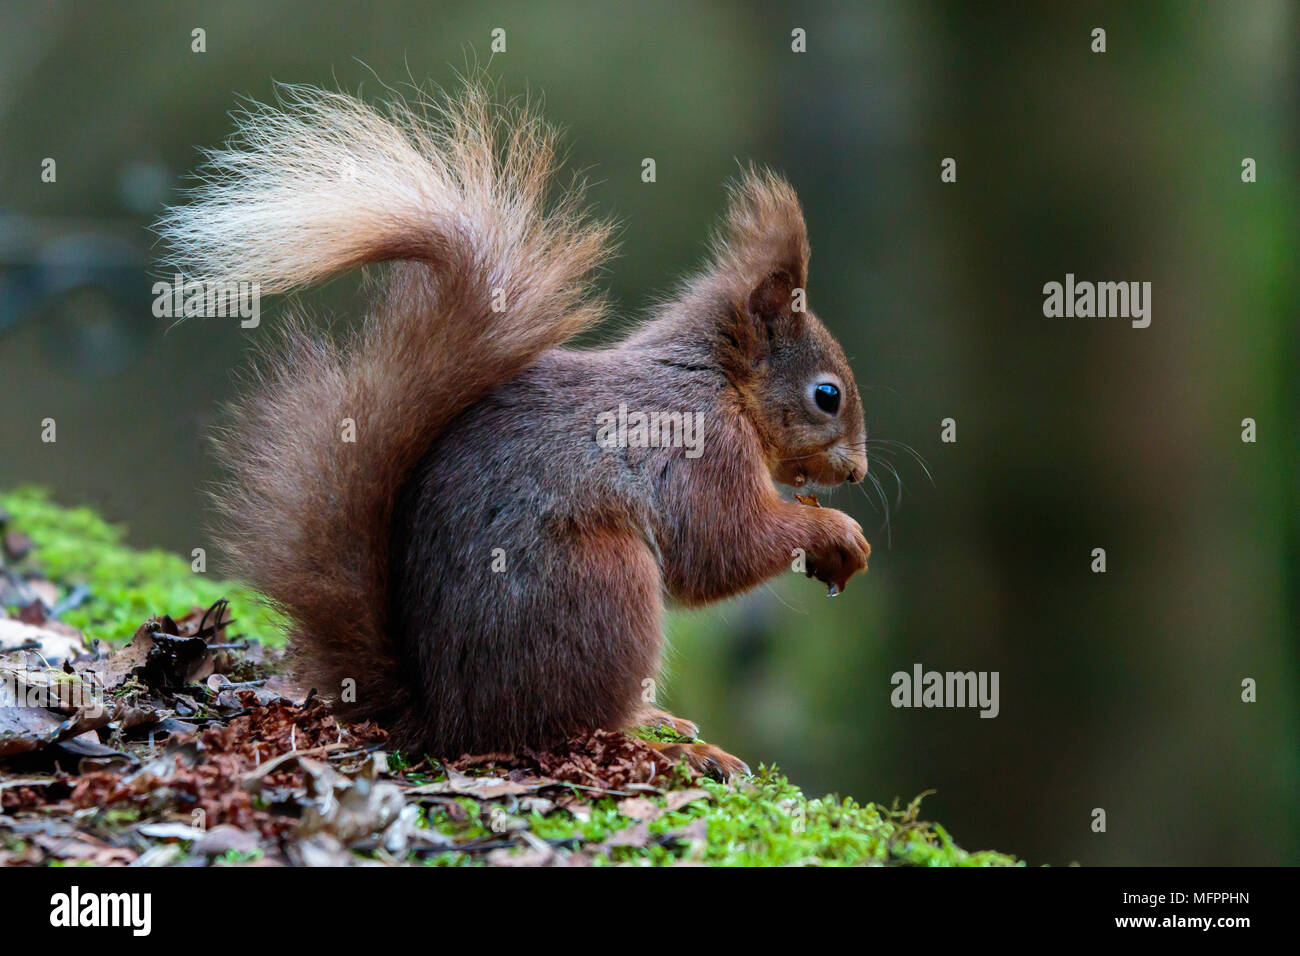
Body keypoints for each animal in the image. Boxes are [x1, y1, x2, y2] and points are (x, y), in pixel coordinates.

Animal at [158, 83, 871, 779]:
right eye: (827, 396)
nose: (858, 472)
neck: (718, 383)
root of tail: (444, 716)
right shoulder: (701, 448)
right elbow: (724, 546)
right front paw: (836, 535)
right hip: (603, 584)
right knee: (572, 728)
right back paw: (670, 749)